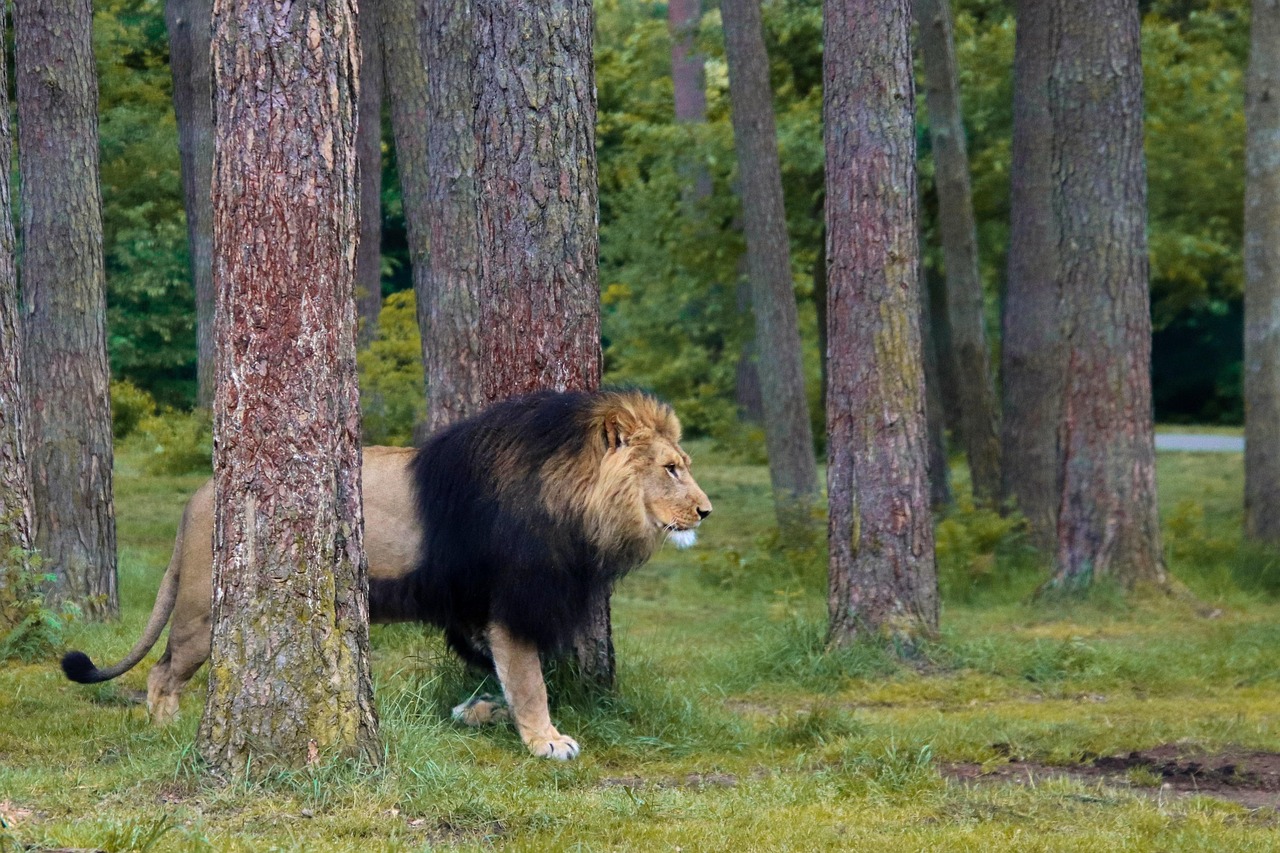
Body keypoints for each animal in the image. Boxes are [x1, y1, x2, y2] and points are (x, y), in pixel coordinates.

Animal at [61, 390, 712, 760]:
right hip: (202, 612)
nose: (706, 511)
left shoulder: (474, 613)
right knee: (163, 670)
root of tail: (199, 495)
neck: (578, 500)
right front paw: (546, 740)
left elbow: (498, 678)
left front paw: (477, 713)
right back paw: (167, 729)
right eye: (671, 469)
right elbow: (531, 682)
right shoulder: (511, 603)